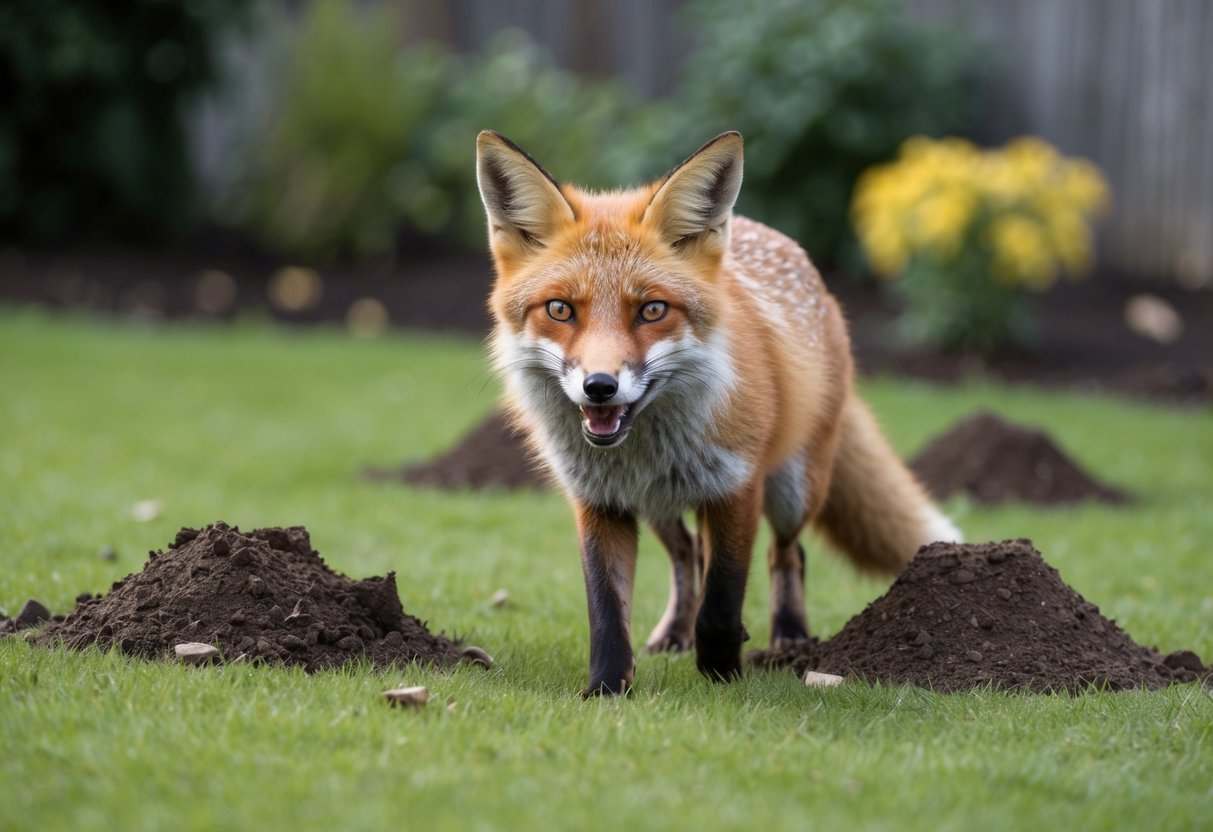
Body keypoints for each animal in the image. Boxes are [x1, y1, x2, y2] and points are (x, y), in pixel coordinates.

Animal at [476, 130, 961, 696]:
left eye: (652, 310)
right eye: (560, 310)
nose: (599, 387)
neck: (648, 446)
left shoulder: (736, 488)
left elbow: (723, 601)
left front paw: (722, 677)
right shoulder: (599, 501)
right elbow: (607, 611)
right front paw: (607, 689)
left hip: (794, 491)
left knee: (786, 554)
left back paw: (789, 639)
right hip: (659, 506)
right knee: (687, 554)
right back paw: (674, 634)